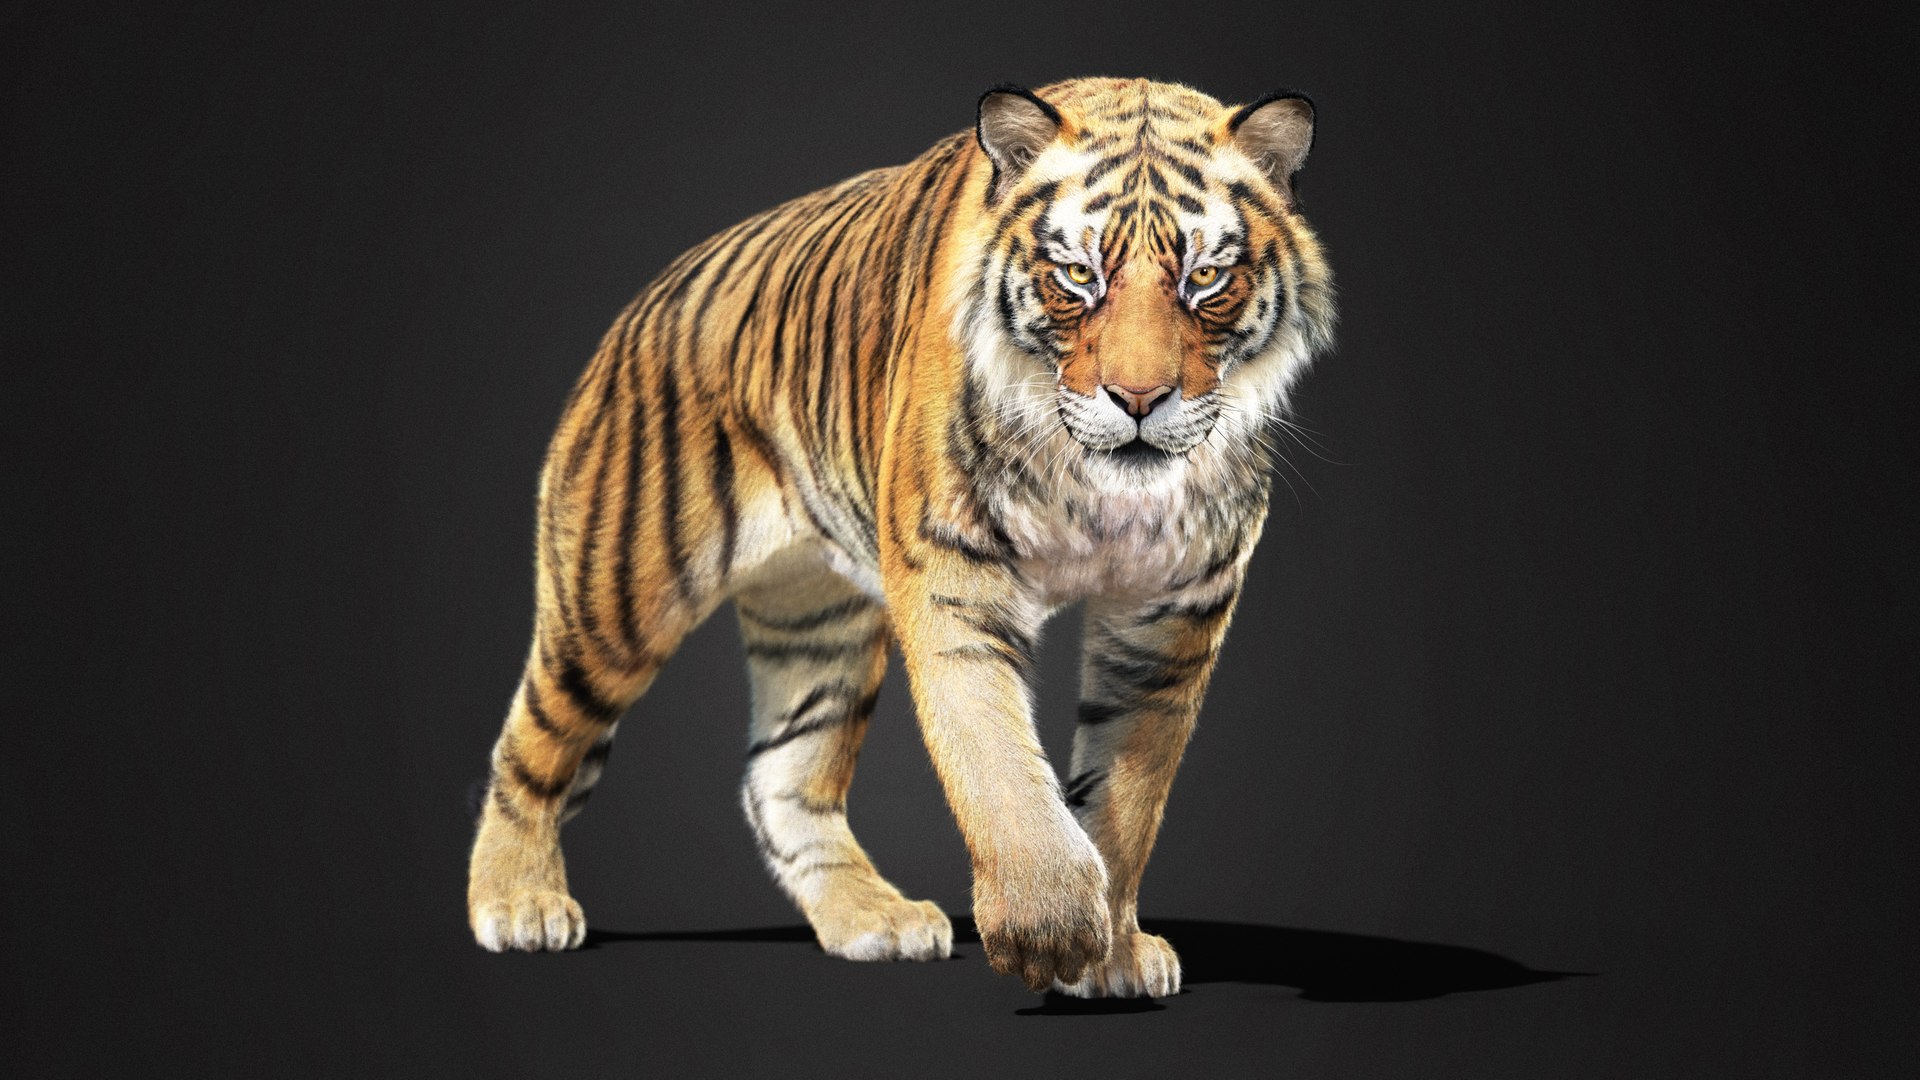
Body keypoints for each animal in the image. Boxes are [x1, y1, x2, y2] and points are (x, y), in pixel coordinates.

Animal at [467, 75, 1335, 999]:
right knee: (531, 742)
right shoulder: (955, 572)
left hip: (820, 624)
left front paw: (1115, 952)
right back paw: (517, 902)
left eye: (1206, 278)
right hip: (619, 601)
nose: (1139, 399)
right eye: (1078, 274)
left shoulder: (1173, 615)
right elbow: (994, 760)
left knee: (781, 780)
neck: (1103, 494)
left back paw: (870, 919)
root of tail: (645, 302)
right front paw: (1050, 927)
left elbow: (1129, 797)